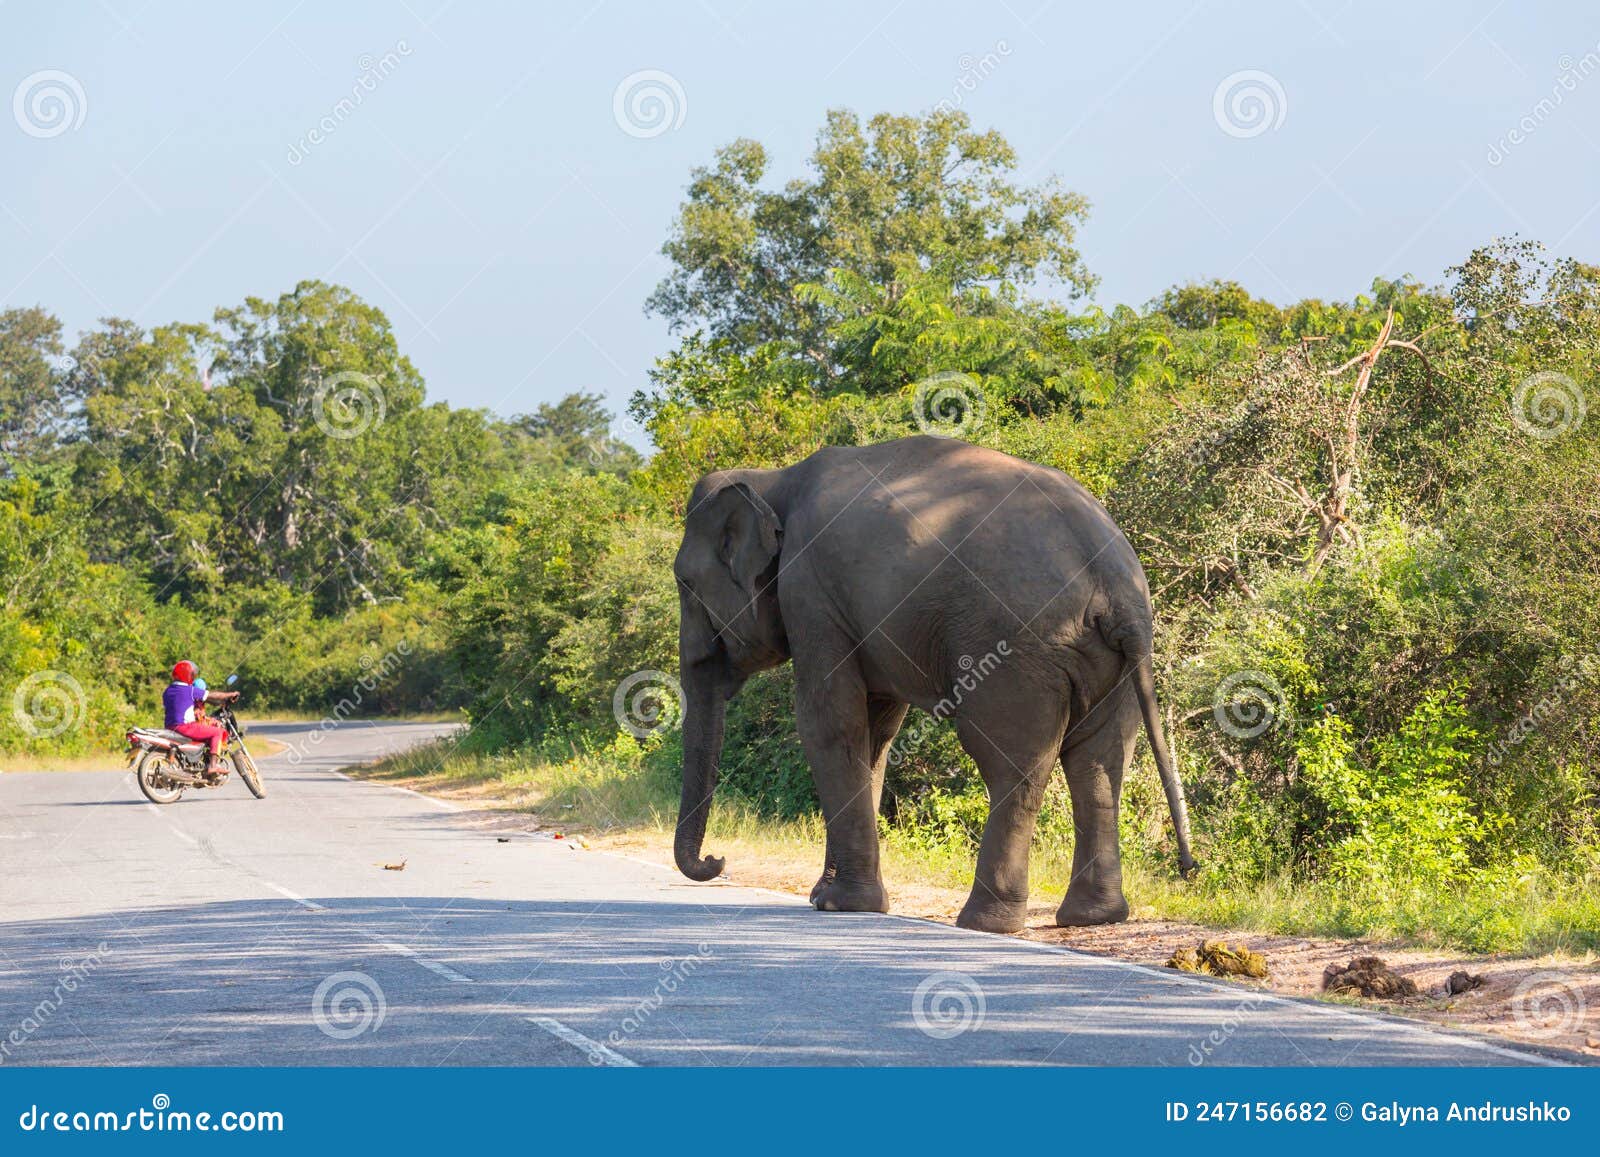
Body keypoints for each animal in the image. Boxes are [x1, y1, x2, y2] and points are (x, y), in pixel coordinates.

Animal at [671, 435, 1194, 933]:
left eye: (685, 584)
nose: (717, 860)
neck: (774, 477)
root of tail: (1115, 582)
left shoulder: (810, 594)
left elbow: (830, 724)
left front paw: (842, 904)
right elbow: (874, 736)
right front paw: (829, 898)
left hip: (1017, 651)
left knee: (1013, 765)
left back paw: (986, 921)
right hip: (1111, 662)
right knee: (1099, 763)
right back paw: (1093, 916)